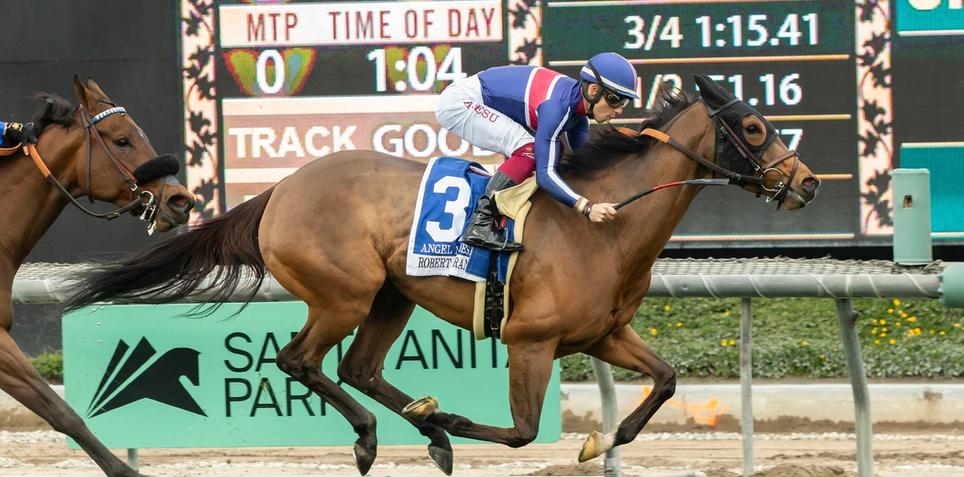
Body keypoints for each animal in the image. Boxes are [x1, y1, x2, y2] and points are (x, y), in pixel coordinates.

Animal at [67, 75, 820, 476]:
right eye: (755, 128)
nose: (807, 184)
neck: (602, 229)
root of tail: (279, 191)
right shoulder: (531, 341)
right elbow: (522, 431)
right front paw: (454, 416)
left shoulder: (603, 334)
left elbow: (664, 381)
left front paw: (598, 439)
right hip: (344, 293)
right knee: (300, 359)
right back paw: (386, 434)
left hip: (391, 295)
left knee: (358, 367)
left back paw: (419, 427)